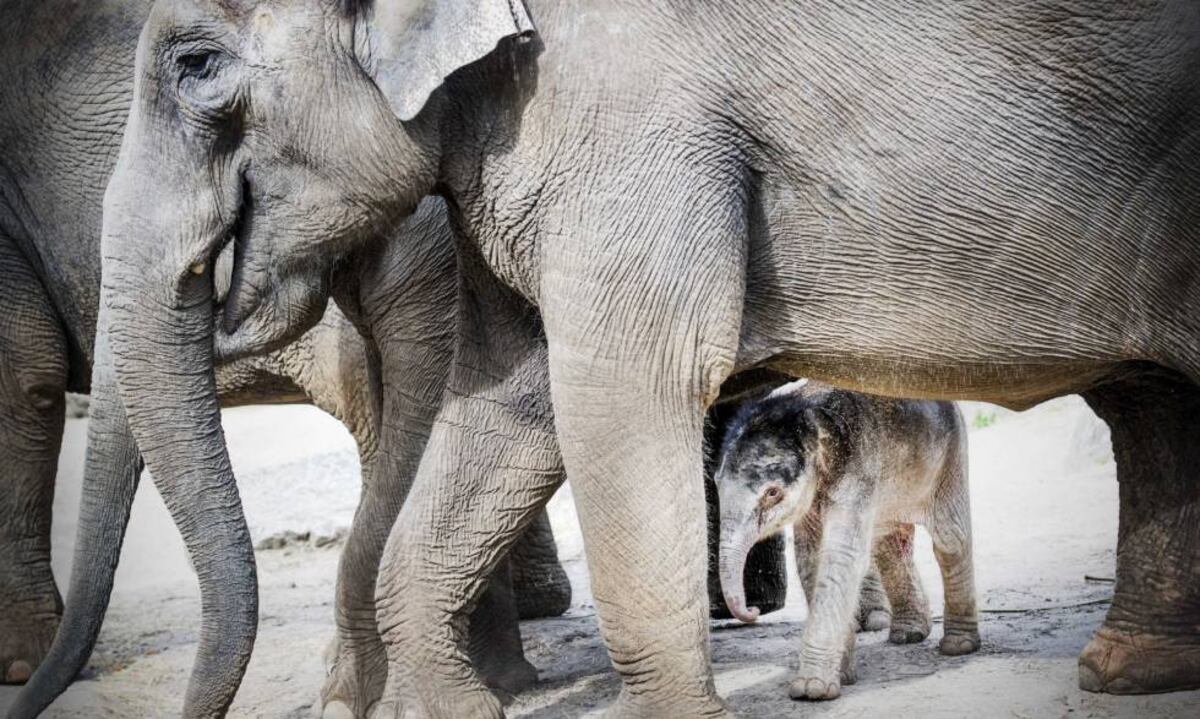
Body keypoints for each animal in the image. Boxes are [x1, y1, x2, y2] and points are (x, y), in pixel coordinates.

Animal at [64, 0, 1200, 716]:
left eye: (196, 66)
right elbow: (511, 408)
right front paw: (464, 712)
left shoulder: (626, 122)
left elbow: (619, 397)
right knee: (1151, 407)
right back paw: (1129, 671)